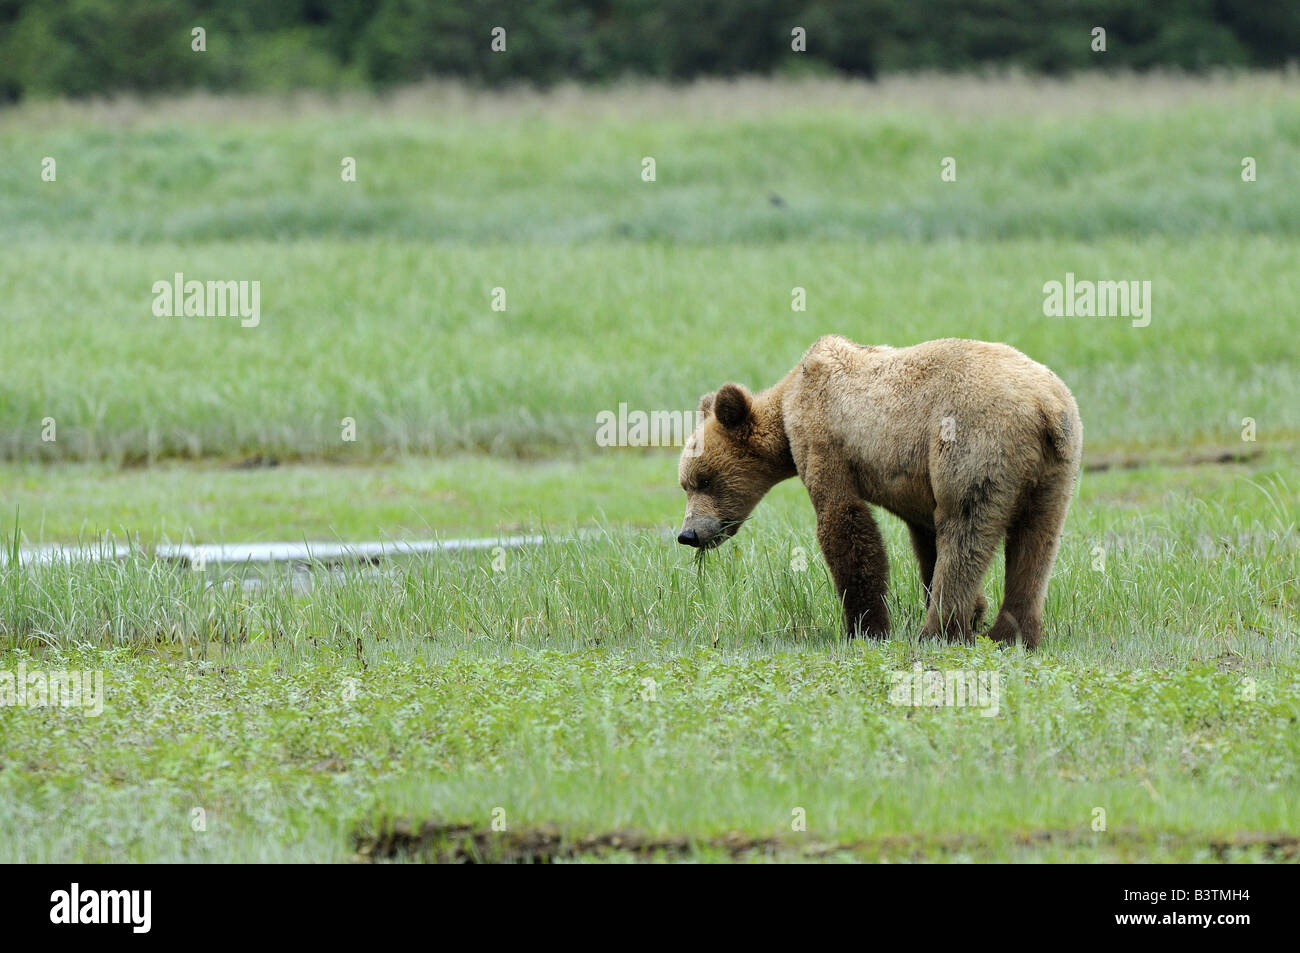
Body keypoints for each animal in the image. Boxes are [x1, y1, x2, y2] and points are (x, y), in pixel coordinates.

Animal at [676, 335, 1082, 649]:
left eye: (704, 479)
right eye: (686, 483)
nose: (688, 534)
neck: (788, 402)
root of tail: (1045, 405)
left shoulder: (822, 437)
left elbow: (843, 521)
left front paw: (866, 627)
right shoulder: (917, 480)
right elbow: (926, 539)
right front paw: (976, 613)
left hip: (973, 441)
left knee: (964, 530)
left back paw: (937, 632)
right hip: (1054, 470)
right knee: (1036, 543)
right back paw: (1011, 635)